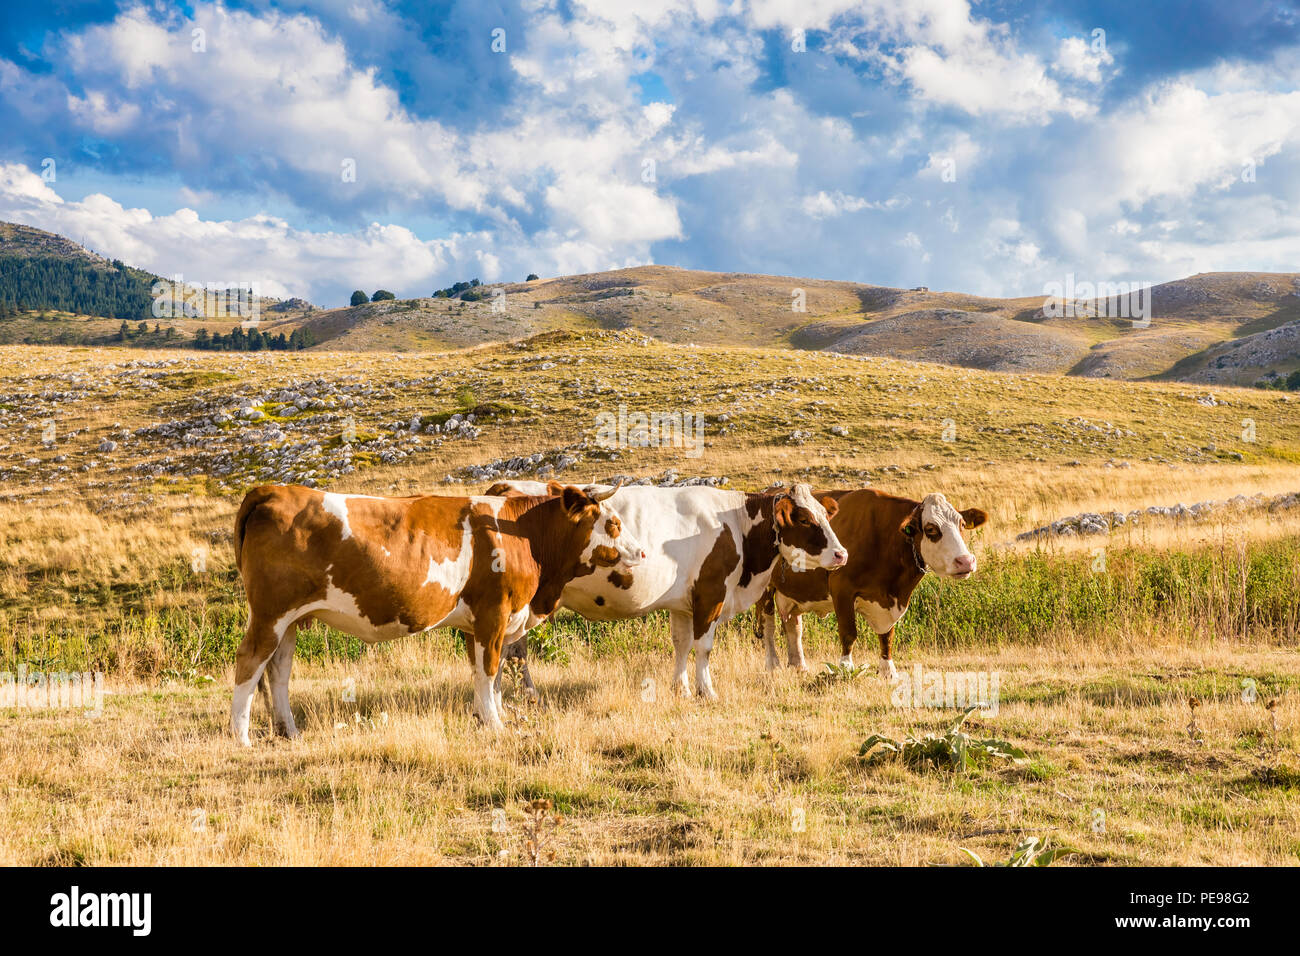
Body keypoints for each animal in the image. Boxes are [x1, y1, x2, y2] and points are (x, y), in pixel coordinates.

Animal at [230, 481, 643, 743]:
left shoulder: (478, 622)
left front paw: (486, 717)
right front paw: (496, 725)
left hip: (290, 619)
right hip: (270, 613)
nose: (641, 552)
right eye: (613, 522)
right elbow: (489, 670)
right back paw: (241, 738)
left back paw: (289, 730)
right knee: (250, 660)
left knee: (278, 670)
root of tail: (273, 490)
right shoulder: (494, 612)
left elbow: (485, 673)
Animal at [485, 480, 847, 699]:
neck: (736, 524)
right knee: (512, 649)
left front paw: (681, 689)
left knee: (514, 647)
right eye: (804, 519)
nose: (841, 554)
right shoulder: (710, 595)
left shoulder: (683, 603)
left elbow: (681, 644)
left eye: (824, 514)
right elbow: (703, 648)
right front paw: (706, 691)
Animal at [757, 490, 987, 678]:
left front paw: (887, 670)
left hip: (794, 593)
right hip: (766, 589)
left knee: (794, 627)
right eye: (931, 529)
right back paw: (772, 665)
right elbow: (848, 633)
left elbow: (887, 636)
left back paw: (799, 666)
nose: (966, 561)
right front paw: (845, 668)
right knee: (768, 626)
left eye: (962, 525)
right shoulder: (842, 589)